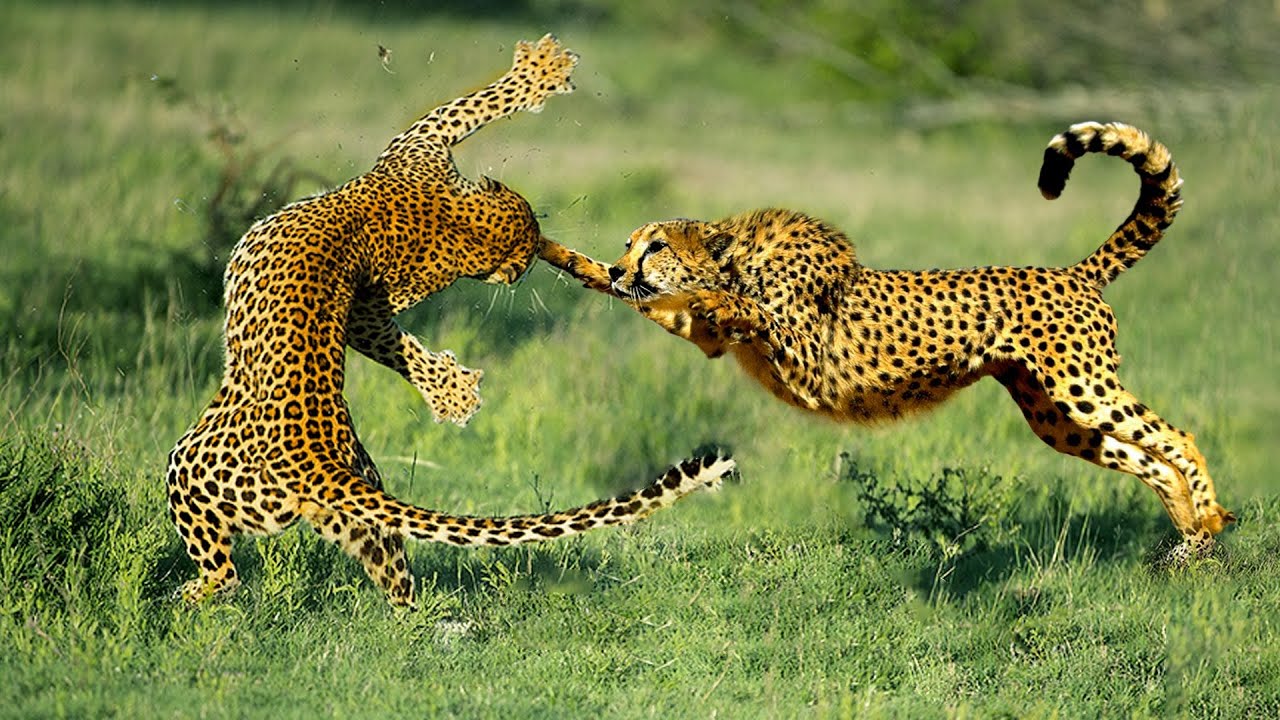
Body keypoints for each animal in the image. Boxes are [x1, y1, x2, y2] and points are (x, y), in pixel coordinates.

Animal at [166, 35, 735, 609]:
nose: (539, 255)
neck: (452, 218)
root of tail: (317, 463)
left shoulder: (411, 149)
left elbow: (469, 104)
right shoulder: (403, 218)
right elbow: (477, 108)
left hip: (188, 469)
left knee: (225, 572)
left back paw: (185, 599)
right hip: (362, 511)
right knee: (397, 578)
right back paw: (413, 622)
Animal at [540, 121, 1235, 559]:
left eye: (655, 245)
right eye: (630, 243)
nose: (627, 266)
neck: (735, 260)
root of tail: (1072, 271)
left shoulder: (807, 354)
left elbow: (747, 309)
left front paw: (712, 294)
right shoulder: (702, 332)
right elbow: (625, 287)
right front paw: (550, 248)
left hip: (1081, 387)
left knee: (1179, 436)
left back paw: (1207, 520)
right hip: (1053, 415)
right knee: (1149, 458)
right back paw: (1189, 539)